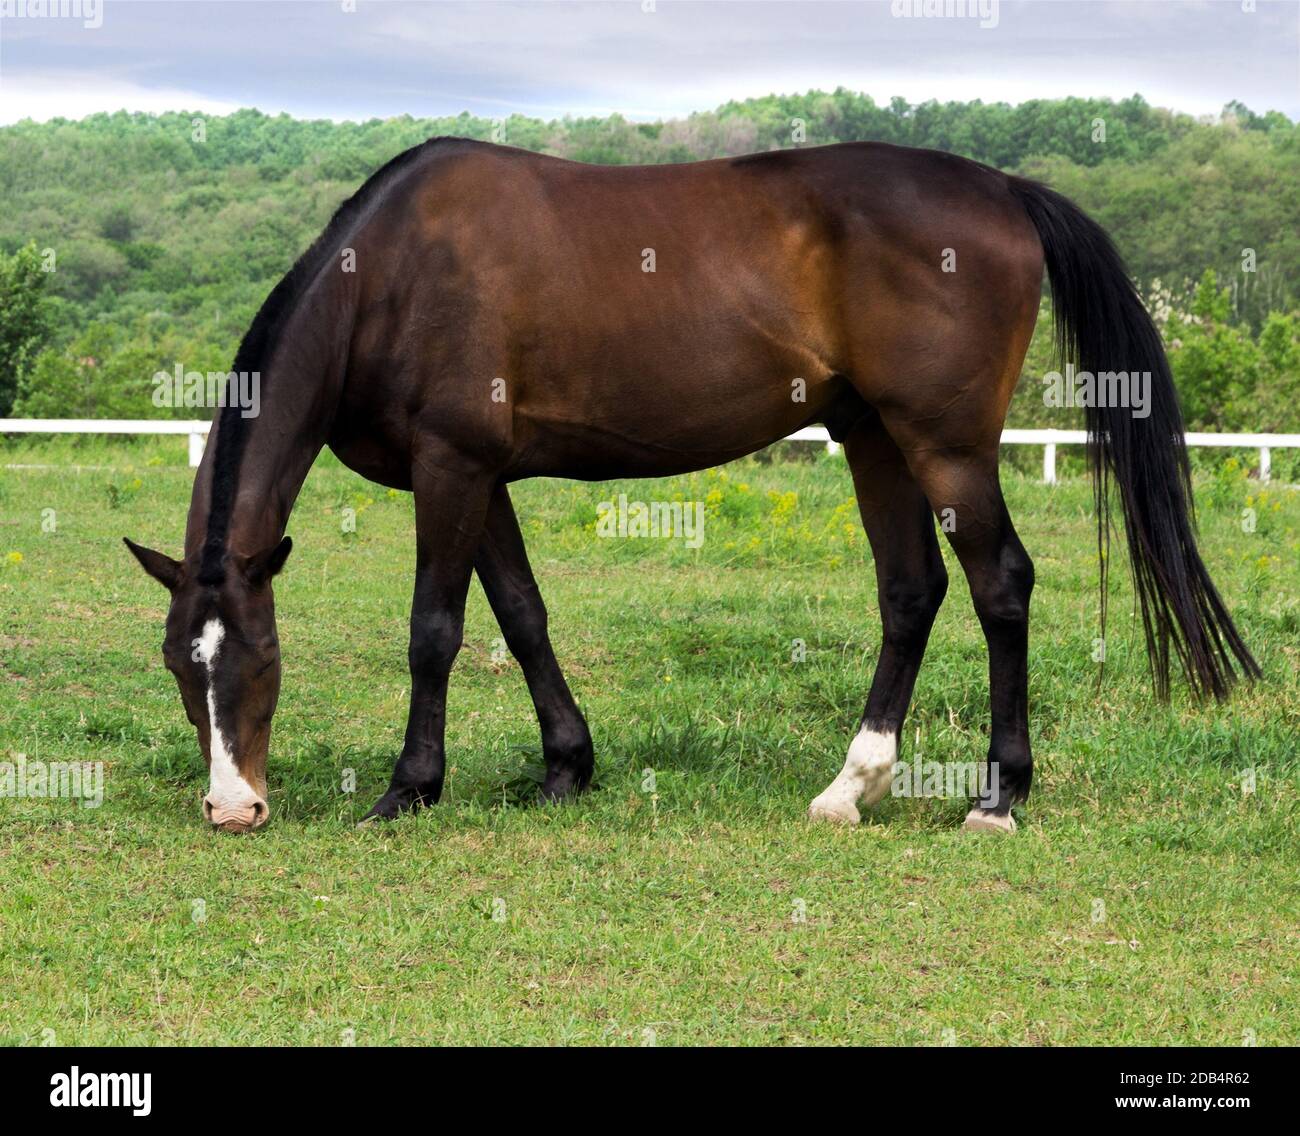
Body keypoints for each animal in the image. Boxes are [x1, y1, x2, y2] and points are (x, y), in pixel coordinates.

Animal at [125, 138, 1259, 834]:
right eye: (182, 665)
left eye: (265, 659)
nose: (233, 808)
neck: (393, 274)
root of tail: (1005, 190)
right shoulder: (478, 475)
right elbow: (523, 615)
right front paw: (566, 766)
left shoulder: (451, 468)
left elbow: (434, 631)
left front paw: (410, 788)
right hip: (872, 436)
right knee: (911, 593)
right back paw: (850, 787)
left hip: (946, 445)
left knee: (1000, 586)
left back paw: (995, 795)